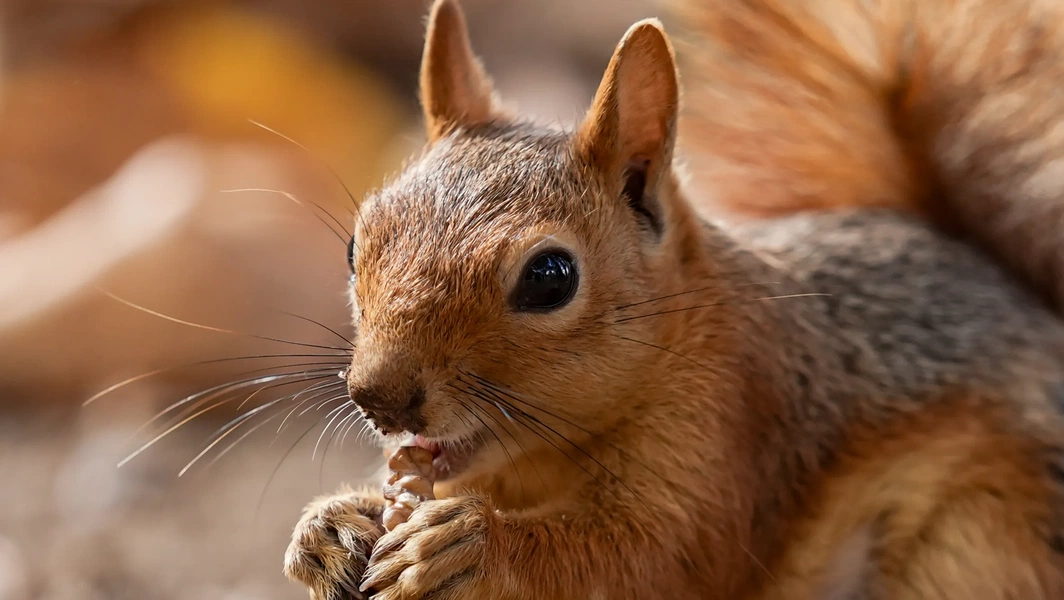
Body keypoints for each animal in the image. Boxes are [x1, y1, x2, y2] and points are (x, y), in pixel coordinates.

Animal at [282, 0, 1064, 598]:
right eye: (355, 245)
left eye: (550, 278)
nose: (379, 397)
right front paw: (331, 528)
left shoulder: (731, 433)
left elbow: (651, 558)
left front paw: (474, 546)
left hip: (976, 542)